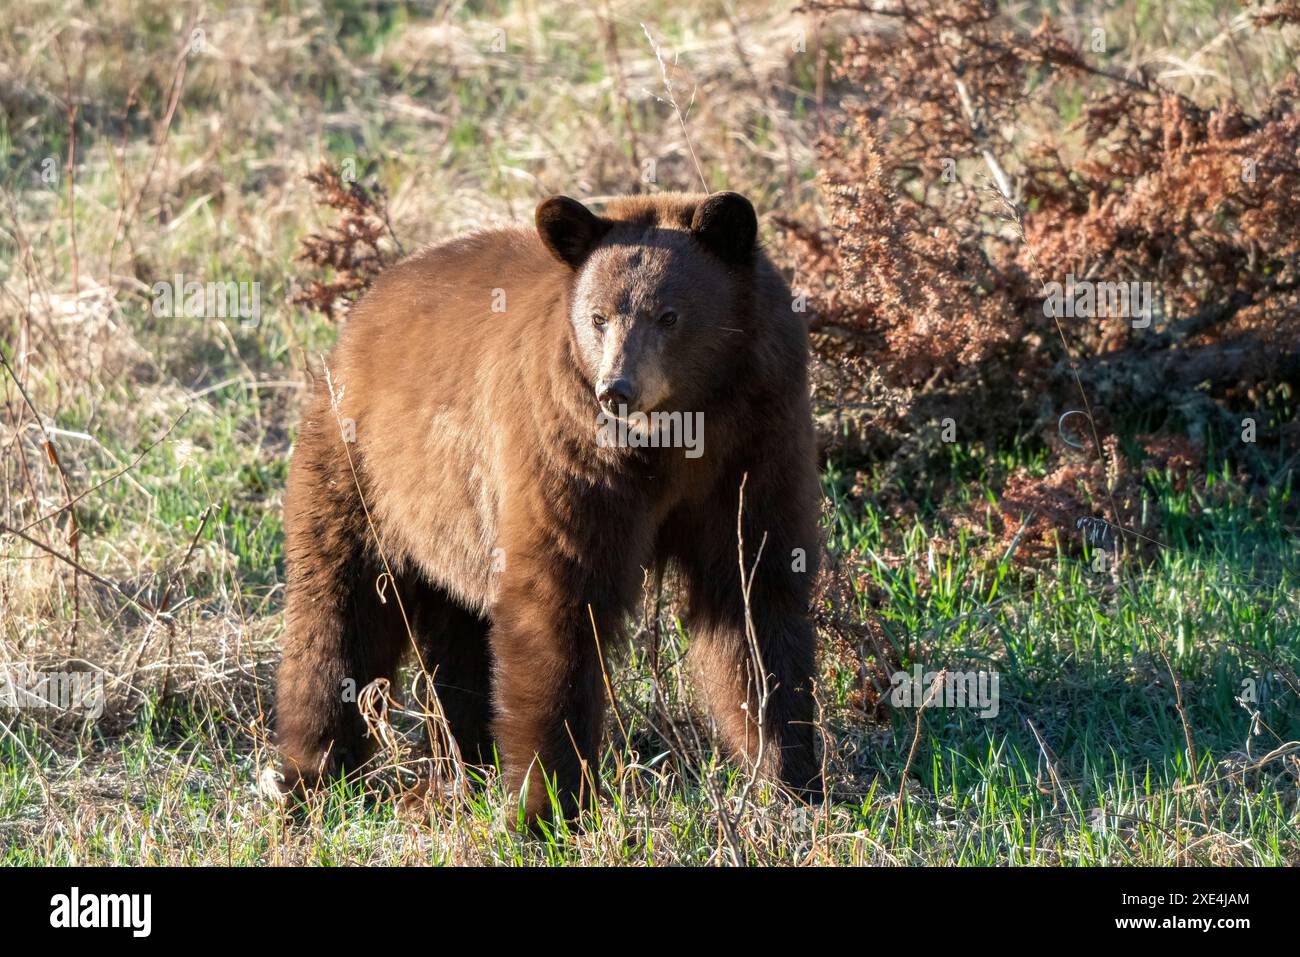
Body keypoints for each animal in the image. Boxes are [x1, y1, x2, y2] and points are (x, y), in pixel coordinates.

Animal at [268, 190, 822, 826]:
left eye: (669, 315)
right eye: (599, 317)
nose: (616, 390)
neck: (679, 434)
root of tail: (367, 303)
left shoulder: (756, 447)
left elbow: (756, 593)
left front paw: (791, 778)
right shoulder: (569, 454)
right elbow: (559, 603)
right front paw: (547, 807)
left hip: (453, 521)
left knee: (459, 633)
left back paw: (460, 767)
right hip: (364, 470)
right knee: (339, 608)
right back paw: (311, 776)